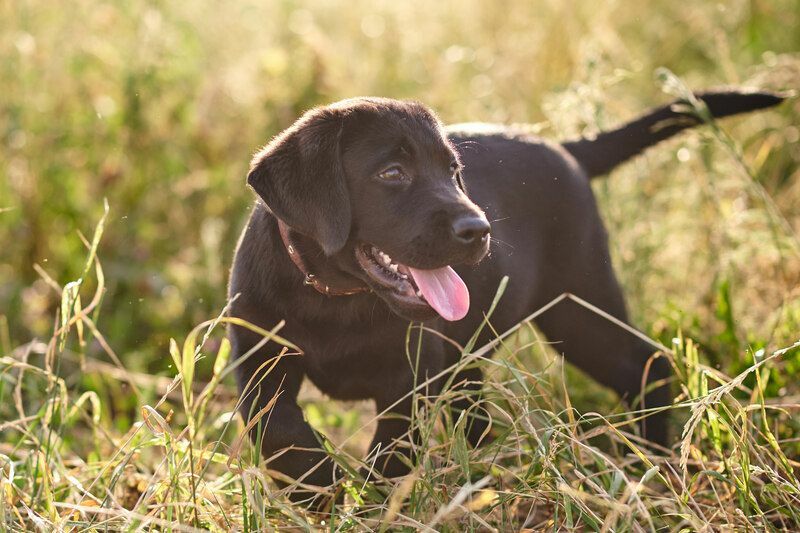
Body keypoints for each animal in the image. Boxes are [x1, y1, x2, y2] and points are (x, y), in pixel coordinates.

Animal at [228, 88, 784, 502]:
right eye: (392, 174)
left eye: (454, 173)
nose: (480, 230)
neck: (336, 296)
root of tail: (567, 148)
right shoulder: (259, 359)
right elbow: (276, 426)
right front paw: (315, 486)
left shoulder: (408, 377)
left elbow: (391, 453)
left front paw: (364, 500)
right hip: (476, 352)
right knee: (477, 412)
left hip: (579, 309)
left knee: (648, 365)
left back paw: (646, 464)